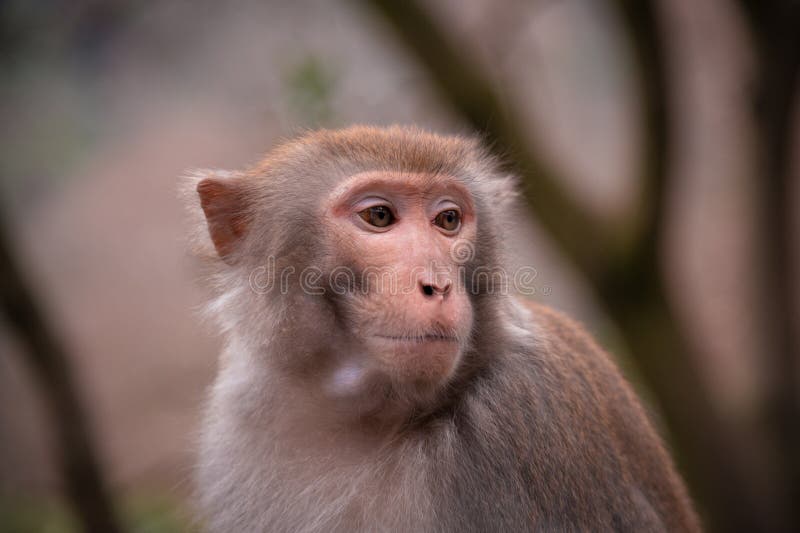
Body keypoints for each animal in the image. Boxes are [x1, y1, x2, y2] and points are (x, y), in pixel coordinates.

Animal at [186, 125, 701, 532]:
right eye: (378, 216)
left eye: (448, 219)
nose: (438, 285)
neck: (367, 419)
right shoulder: (242, 418)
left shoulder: (522, 418)